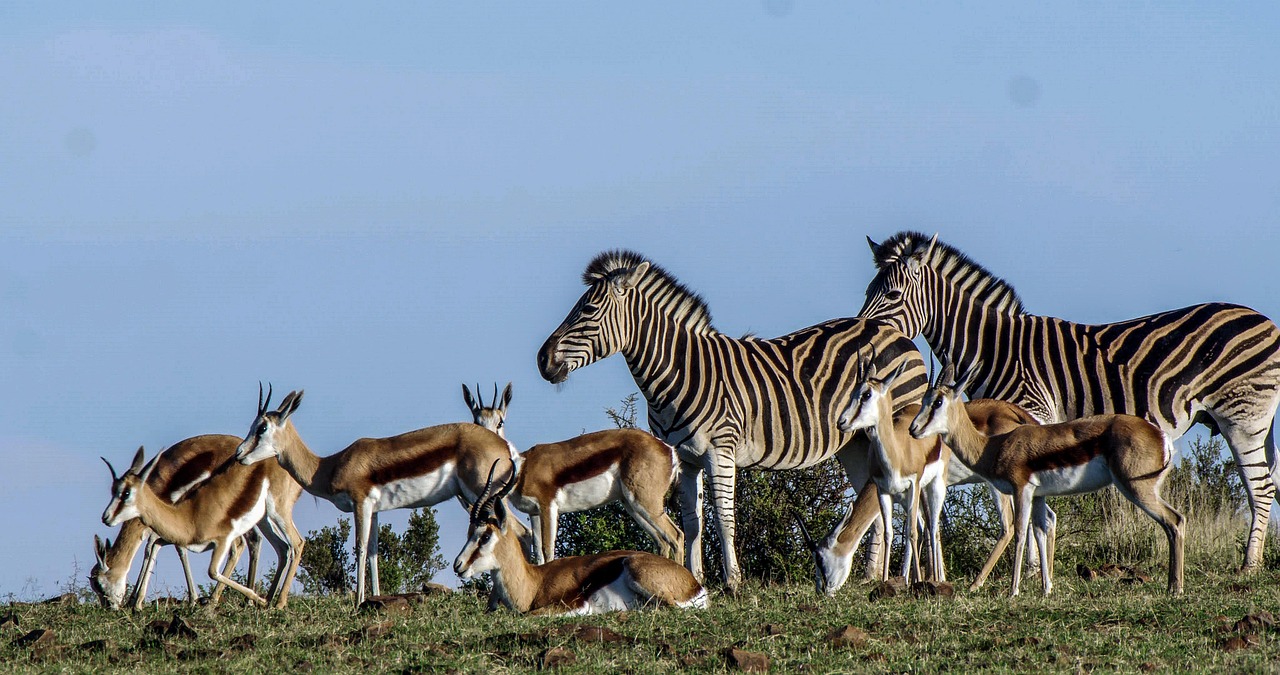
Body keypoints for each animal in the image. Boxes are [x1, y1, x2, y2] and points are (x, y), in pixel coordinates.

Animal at [536, 249, 928, 592]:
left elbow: (724, 518)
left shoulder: (719, 450)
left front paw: (733, 582)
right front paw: (694, 577)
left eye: (588, 309)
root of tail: (896, 334)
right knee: (873, 496)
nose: (542, 359)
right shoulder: (686, 458)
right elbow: (692, 522)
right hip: (856, 442)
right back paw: (870, 578)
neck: (680, 371)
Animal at [859, 231, 1280, 571]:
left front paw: (1030, 571)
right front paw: (1034, 571)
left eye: (892, 295)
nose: (864, 334)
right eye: (867, 292)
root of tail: (1266, 321)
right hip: (1255, 422)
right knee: (1267, 483)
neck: (994, 347)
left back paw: (1249, 565)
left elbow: (1028, 504)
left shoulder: (1032, 413)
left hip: (1243, 416)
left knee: (1259, 490)